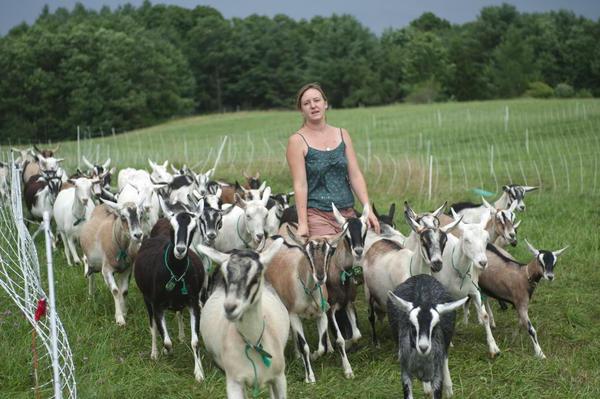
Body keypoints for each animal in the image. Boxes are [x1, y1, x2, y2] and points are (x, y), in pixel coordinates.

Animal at [79, 198, 145, 326]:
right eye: (123, 217)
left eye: (141, 214)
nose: (138, 235)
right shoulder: (106, 270)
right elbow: (115, 290)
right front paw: (119, 319)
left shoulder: (127, 269)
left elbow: (123, 291)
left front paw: (124, 312)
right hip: (91, 261)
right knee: (91, 276)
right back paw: (91, 296)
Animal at [198, 239, 290, 398]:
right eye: (225, 278)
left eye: (256, 277)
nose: (230, 308)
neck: (253, 344)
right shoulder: (234, 382)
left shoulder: (279, 378)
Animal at [268, 225, 346, 384]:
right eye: (306, 252)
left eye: (329, 252)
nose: (320, 277)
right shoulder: (294, 315)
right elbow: (305, 346)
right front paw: (310, 377)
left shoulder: (321, 315)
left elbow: (322, 346)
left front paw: (314, 355)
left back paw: (298, 356)